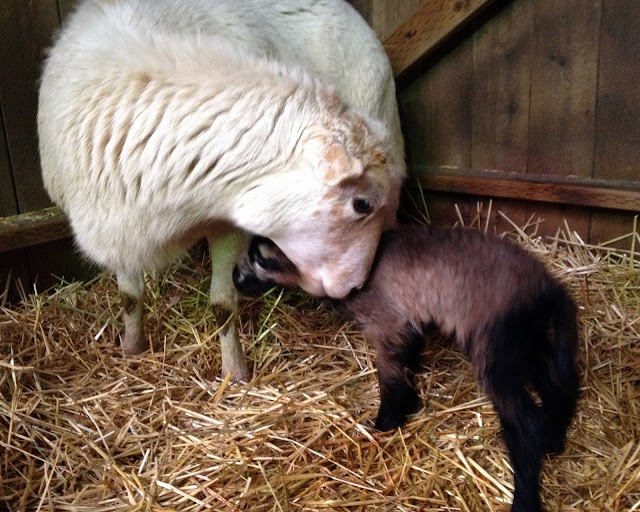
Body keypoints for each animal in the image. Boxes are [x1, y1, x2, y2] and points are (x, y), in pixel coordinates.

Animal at [38, 0, 405, 381]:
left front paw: (235, 373)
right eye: (361, 204)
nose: (354, 286)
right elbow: (130, 297)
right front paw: (132, 347)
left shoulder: (226, 223)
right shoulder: (120, 228)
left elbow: (222, 305)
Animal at [233, 225, 580, 512]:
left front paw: (387, 421)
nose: (235, 278)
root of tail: (548, 287)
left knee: (525, 423)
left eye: (260, 258)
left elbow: (389, 376)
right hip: (525, 341)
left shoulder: (387, 324)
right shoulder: (408, 326)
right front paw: (409, 404)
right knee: (559, 385)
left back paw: (525, 499)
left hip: (496, 345)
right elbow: (407, 362)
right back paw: (553, 439)